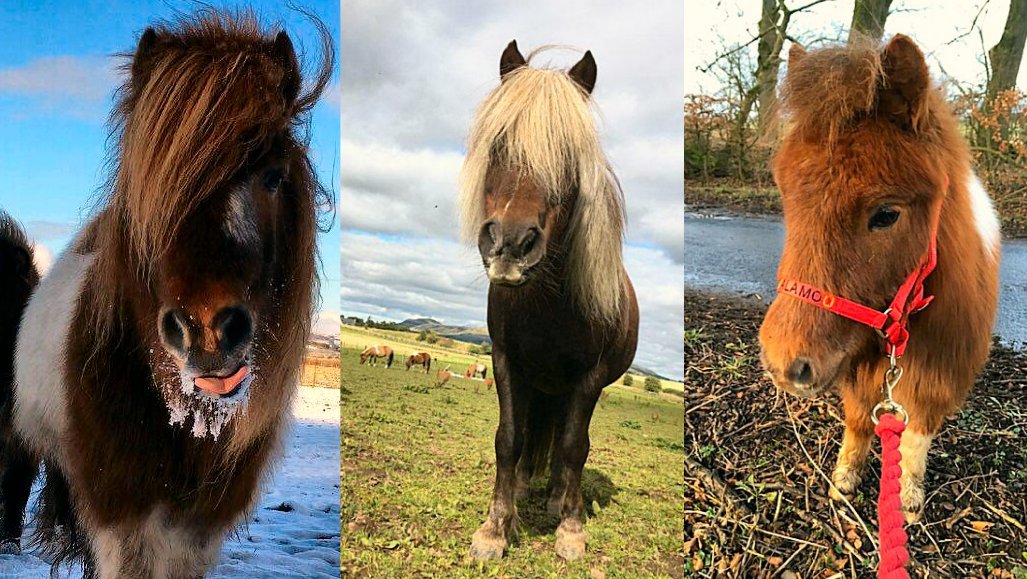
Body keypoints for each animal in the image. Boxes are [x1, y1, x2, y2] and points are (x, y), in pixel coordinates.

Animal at [458, 41, 639, 561]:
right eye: (499, 144)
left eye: (567, 158)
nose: (511, 244)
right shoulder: (505, 361)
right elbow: (508, 438)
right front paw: (495, 528)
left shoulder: (590, 377)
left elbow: (575, 446)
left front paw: (571, 529)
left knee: (567, 444)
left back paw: (560, 498)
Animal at [758, 35, 999, 523]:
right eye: (787, 200)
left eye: (886, 214)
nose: (783, 363)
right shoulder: (857, 371)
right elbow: (857, 422)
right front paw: (844, 482)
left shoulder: (938, 378)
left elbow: (917, 435)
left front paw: (908, 498)